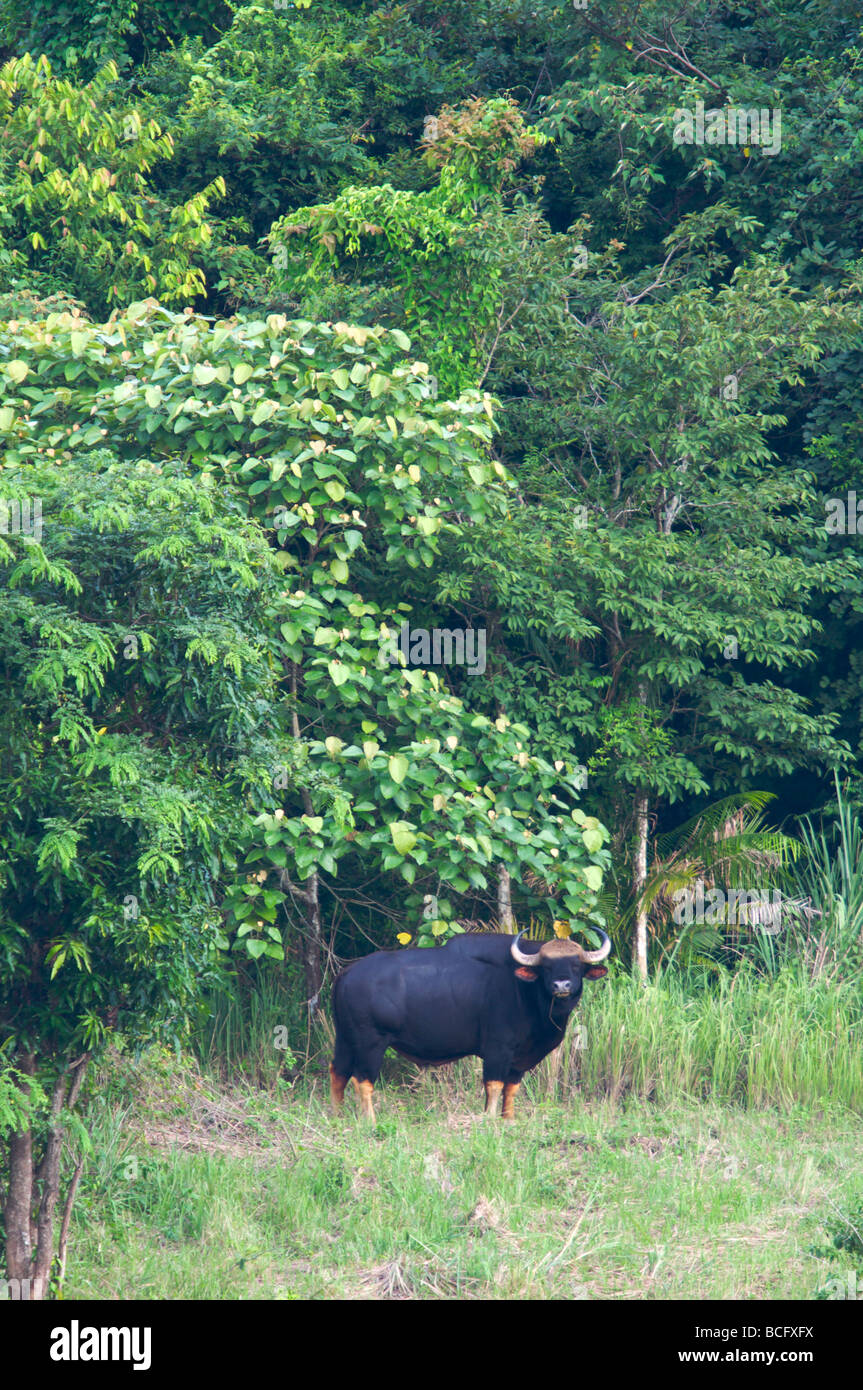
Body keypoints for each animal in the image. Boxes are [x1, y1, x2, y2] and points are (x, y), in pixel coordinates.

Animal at [329, 927, 611, 1121]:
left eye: (575, 965)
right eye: (547, 967)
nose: (561, 985)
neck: (526, 993)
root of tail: (346, 974)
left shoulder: (519, 1058)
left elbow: (512, 1088)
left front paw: (508, 1119)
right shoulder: (498, 1049)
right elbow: (494, 1086)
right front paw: (489, 1118)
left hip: (344, 1038)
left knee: (338, 1072)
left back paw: (338, 1115)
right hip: (370, 1043)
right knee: (362, 1079)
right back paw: (369, 1120)